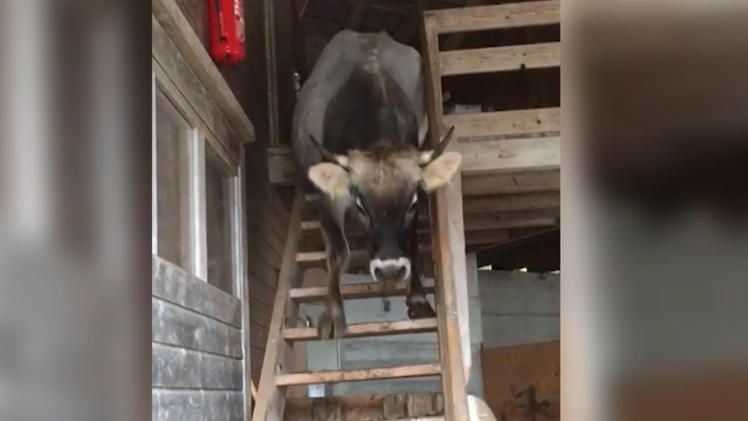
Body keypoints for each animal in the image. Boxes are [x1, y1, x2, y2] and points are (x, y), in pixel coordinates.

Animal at [292, 30, 461, 339]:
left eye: (413, 203)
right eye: (360, 206)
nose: (390, 271)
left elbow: (414, 243)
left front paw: (418, 299)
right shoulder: (328, 197)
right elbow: (337, 252)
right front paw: (333, 314)